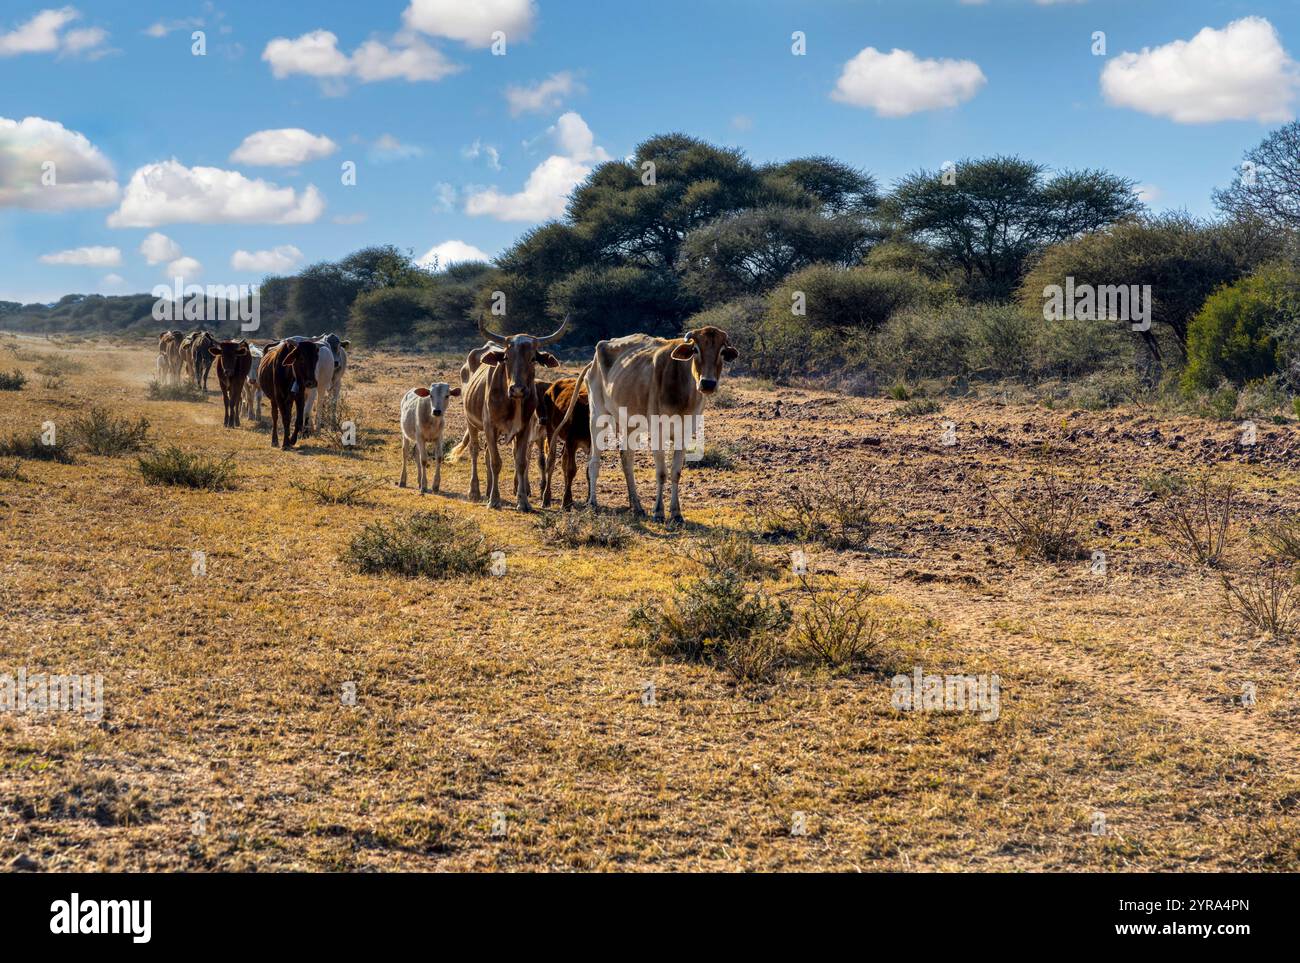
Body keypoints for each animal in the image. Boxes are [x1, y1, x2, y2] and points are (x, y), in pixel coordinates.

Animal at [446, 318, 567, 510]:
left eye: (533, 358)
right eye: (506, 357)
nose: (517, 389)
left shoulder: (525, 429)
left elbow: (521, 462)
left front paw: (523, 502)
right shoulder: (490, 426)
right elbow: (496, 462)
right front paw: (494, 500)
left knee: (487, 453)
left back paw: (488, 489)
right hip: (471, 422)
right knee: (475, 450)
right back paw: (475, 491)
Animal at [532, 377, 591, 510]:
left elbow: (589, 471)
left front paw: (589, 499)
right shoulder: (571, 442)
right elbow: (571, 470)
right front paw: (565, 502)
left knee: (563, 462)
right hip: (551, 431)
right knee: (551, 463)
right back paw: (546, 498)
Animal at [557, 325, 737, 523]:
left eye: (722, 352)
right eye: (695, 349)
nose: (708, 383)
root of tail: (594, 359)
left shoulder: (684, 434)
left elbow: (676, 472)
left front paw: (676, 513)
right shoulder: (658, 433)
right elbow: (661, 473)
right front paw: (658, 512)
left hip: (629, 422)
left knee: (626, 458)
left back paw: (636, 505)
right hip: (598, 415)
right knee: (594, 462)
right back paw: (592, 502)